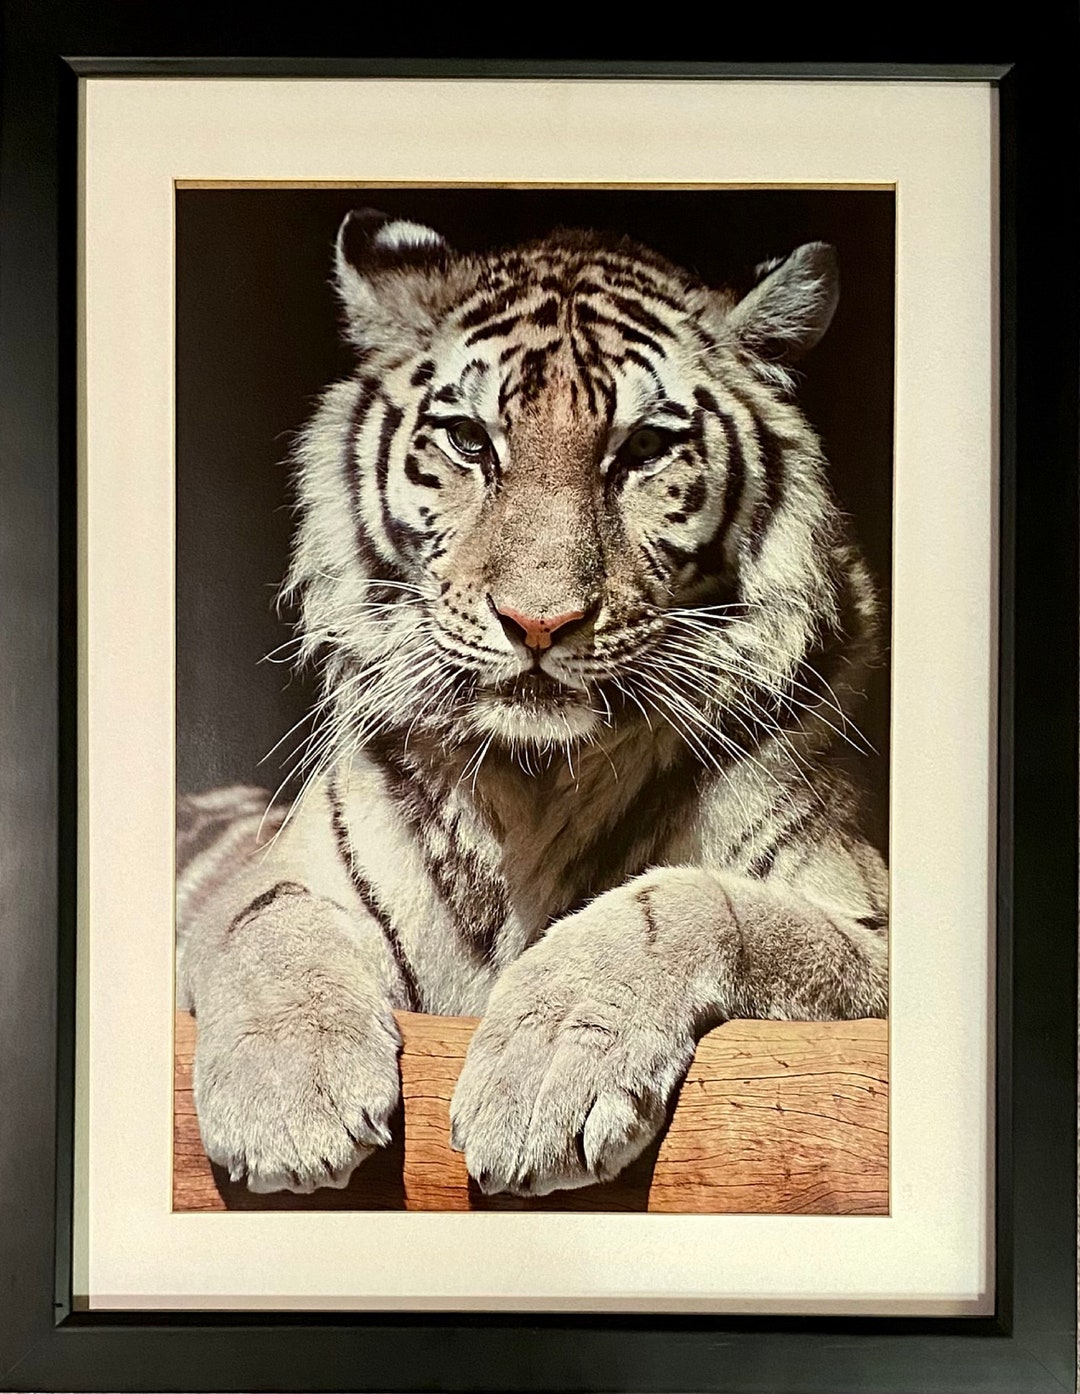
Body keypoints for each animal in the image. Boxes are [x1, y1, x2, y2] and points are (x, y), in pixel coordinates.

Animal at [176, 209, 888, 1199]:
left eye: (642, 450)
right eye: (471, 441)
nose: (539, 621)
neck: (534, 783)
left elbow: (691, 906)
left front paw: (545, 1069)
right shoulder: (263, 882)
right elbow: (269, 918)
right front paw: (290, 1098)